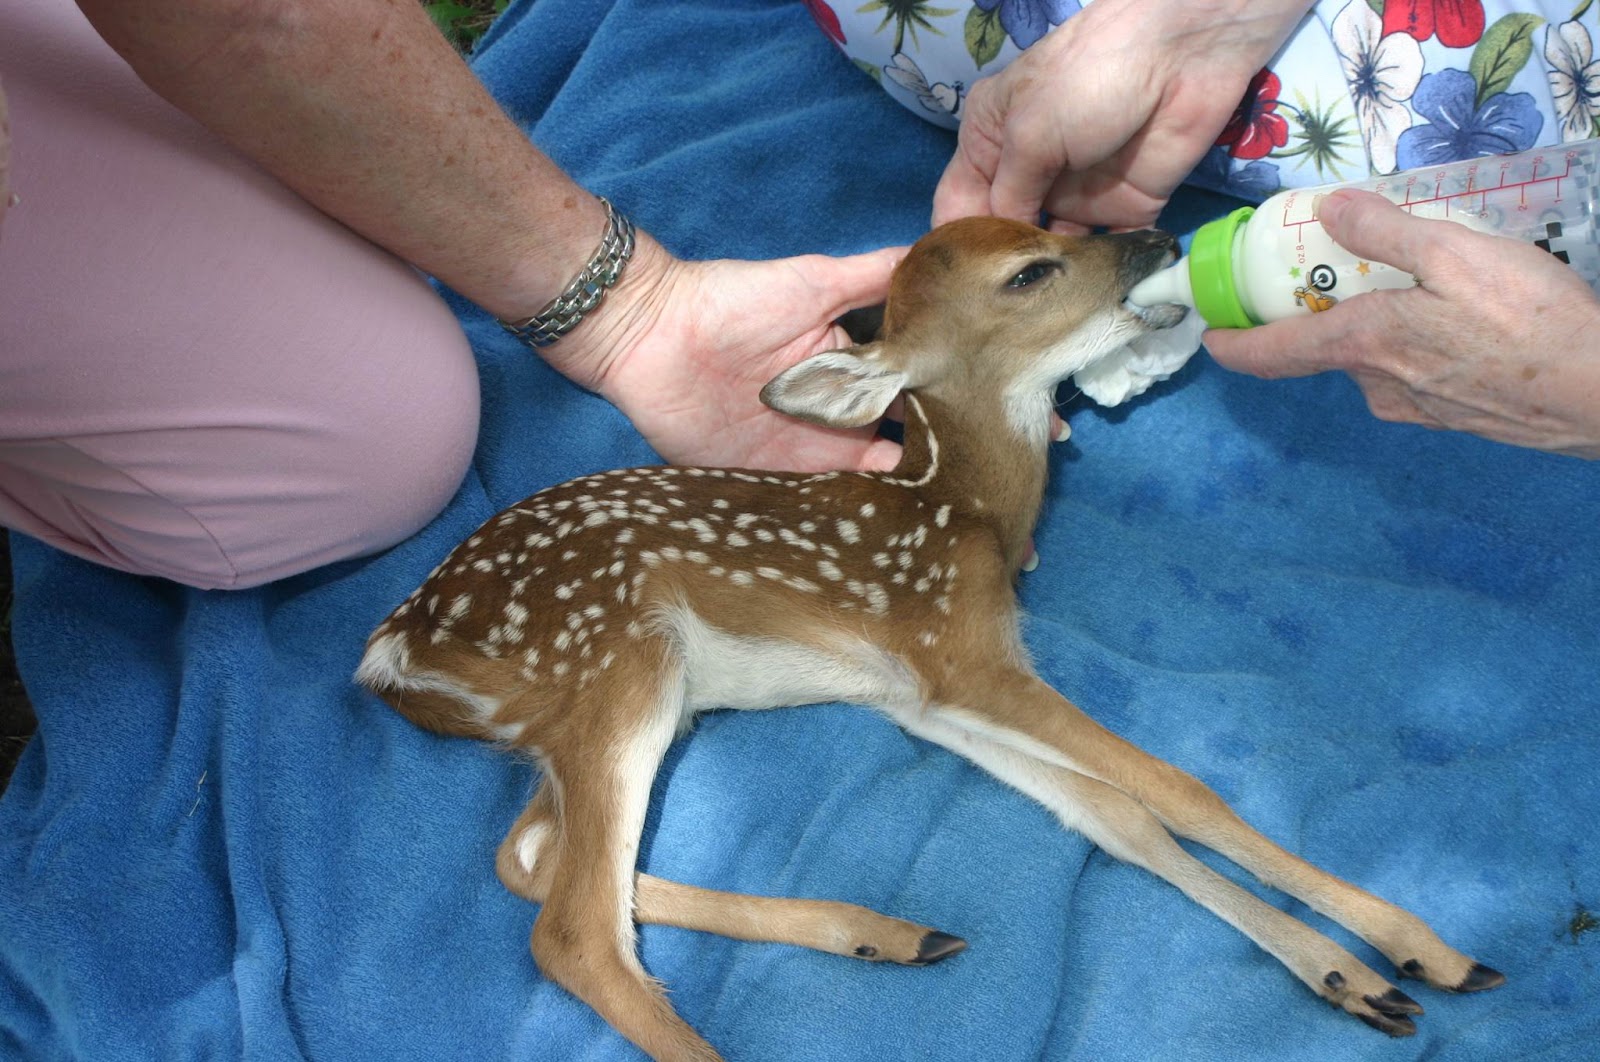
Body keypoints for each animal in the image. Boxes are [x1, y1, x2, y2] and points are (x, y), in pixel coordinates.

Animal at [356, 217, 1504, 1062]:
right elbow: (1178, 789)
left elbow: (1117, 816)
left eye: (1050, 222)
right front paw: (1417, 949)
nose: (1151, 232)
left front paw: (1348, 975)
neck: (968, 510)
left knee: (531, 857)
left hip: (586, 714)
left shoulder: (920, 695)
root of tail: (392, 652)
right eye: (1032, 269)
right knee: (575, 936)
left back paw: (887, 930)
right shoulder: (965, 656)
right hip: (615, 657)